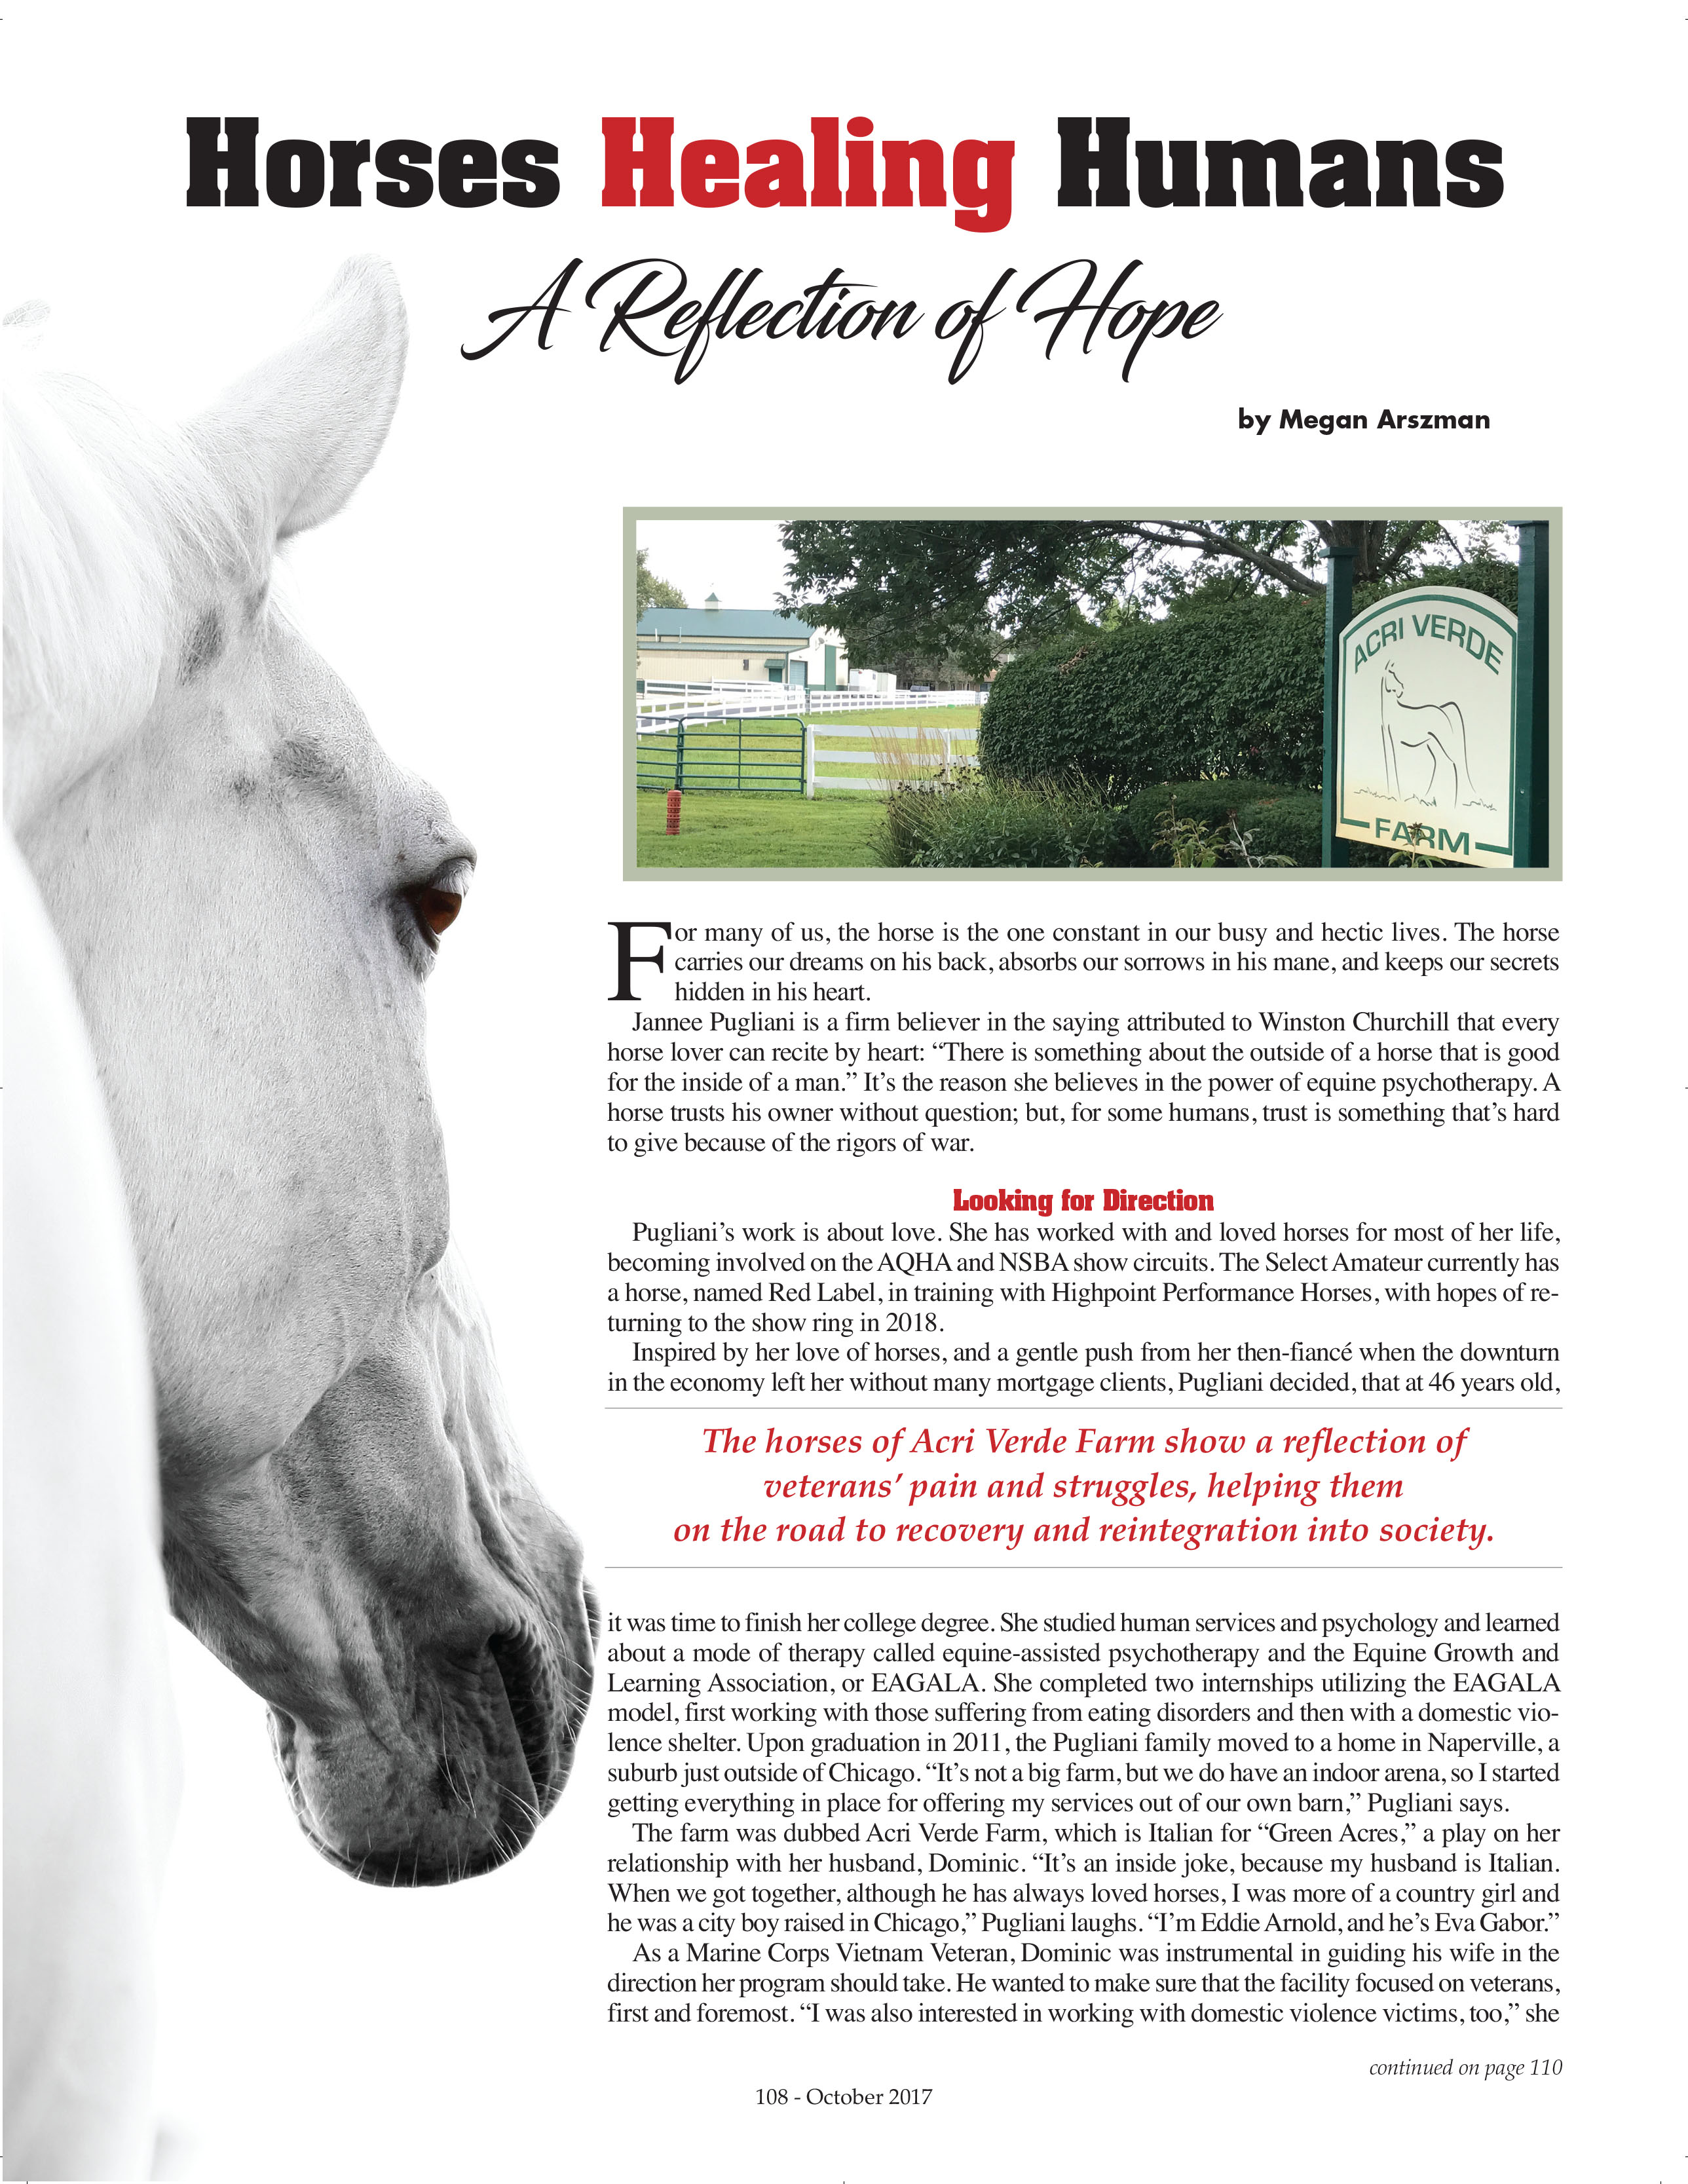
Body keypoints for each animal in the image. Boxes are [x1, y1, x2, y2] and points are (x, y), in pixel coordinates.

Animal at [1379, 658, 1479, 809]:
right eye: (1391, 673)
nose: (1401, 689)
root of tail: (1444, 708)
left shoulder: (1396, 742)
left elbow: (1396, 767)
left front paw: (1398, 797)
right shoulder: (1386, 740)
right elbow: (1389, 764)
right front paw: (1391, 795)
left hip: (1447, 743)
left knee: (1458, 764)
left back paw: (1458, 803)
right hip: (1433, 744)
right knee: (1440, 762)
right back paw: (1428, 798)